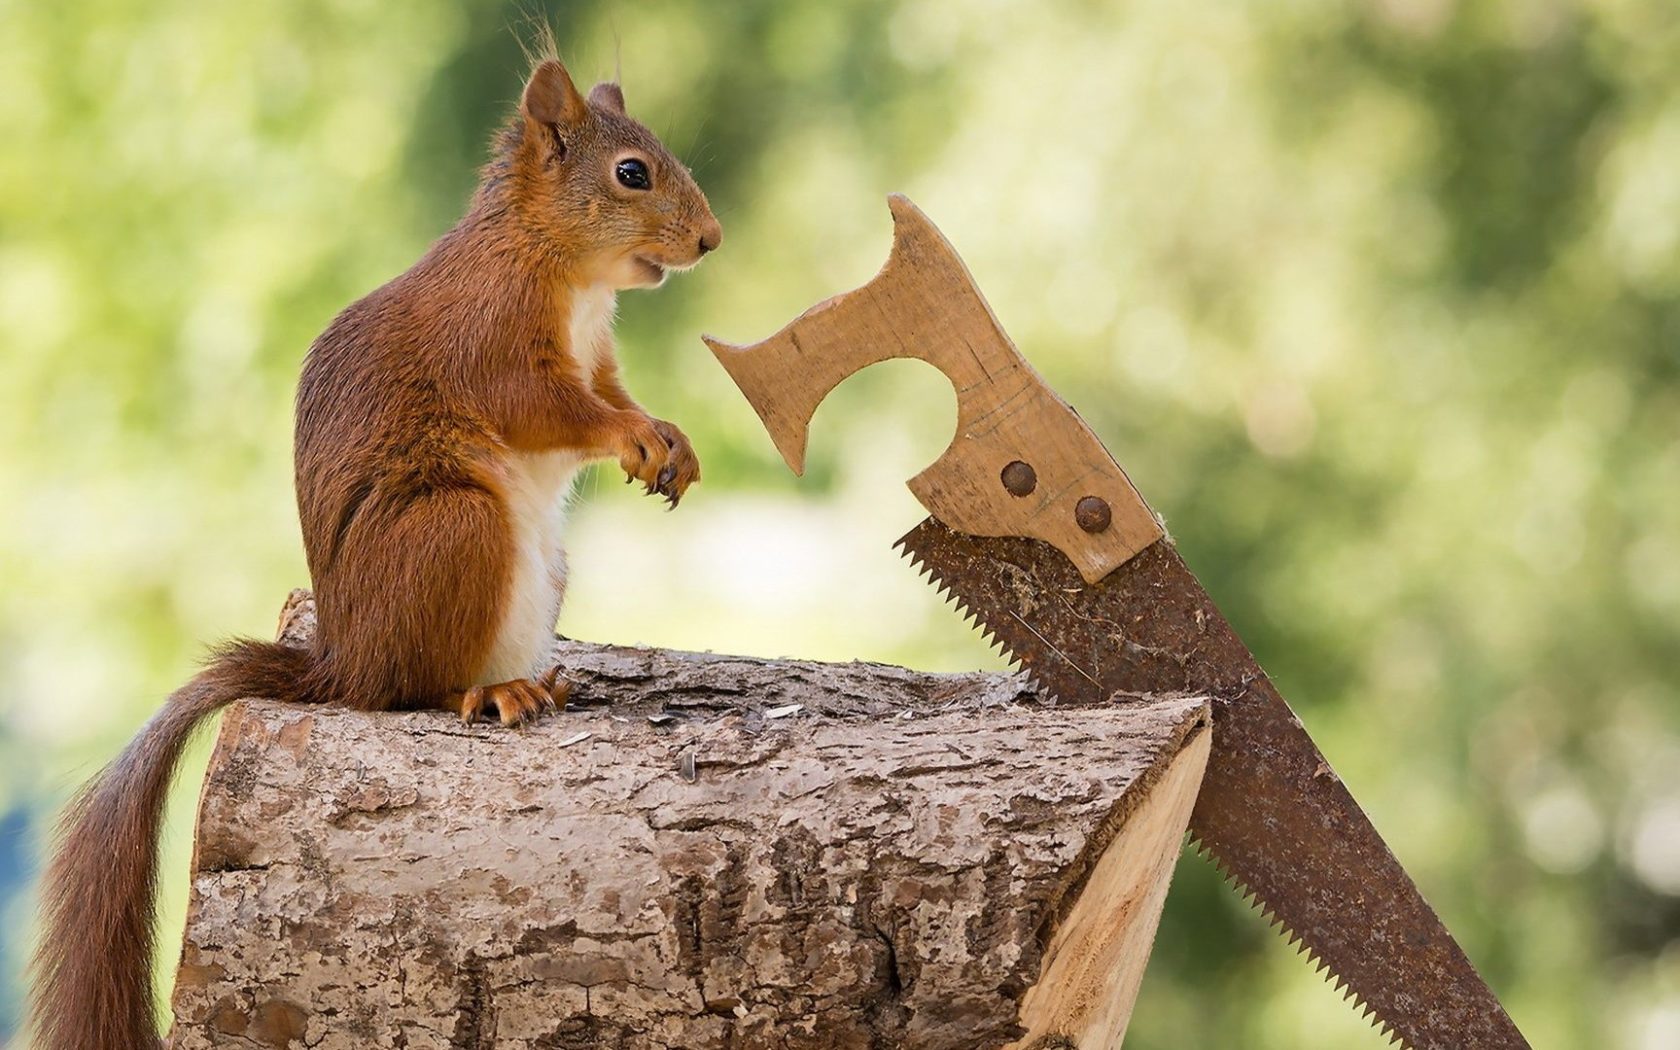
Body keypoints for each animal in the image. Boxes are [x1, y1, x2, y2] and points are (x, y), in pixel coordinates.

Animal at [29, 51, 721, 1050]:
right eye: (632, 172)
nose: (710, 239)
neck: (557, 264)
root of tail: (339, 663)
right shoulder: (492, 340)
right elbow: (548, 408)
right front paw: (632, 436)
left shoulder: (598, 356)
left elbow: (615, 393)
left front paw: (671, 438)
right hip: (456, 529)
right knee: (407, 691)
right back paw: (490, 693)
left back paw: (540, 683)